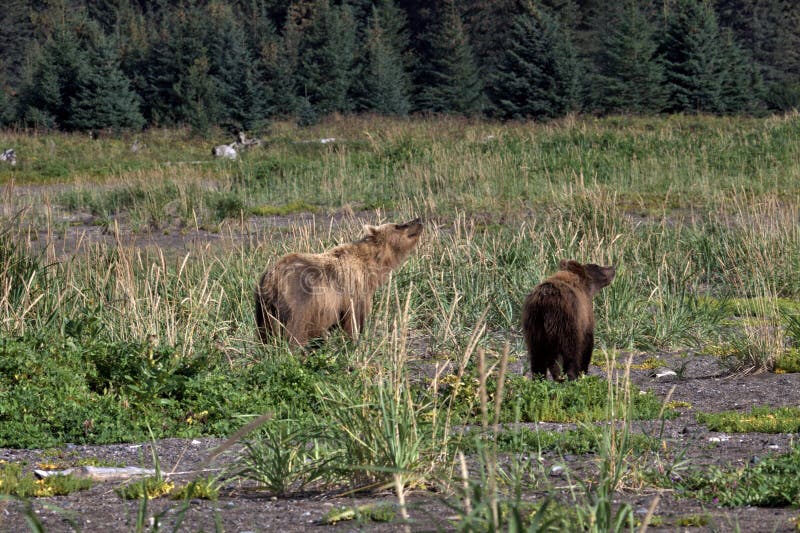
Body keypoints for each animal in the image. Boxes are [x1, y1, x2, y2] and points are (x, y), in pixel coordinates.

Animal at [255, 218, 423, 347]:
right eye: (398, 225)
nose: (418, 220)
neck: (372, 265)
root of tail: (271, 278)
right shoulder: (354, 289)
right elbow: (355, 317)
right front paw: (355, 340)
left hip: (263, 306)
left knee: (264, 332)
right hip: (297, 300)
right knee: (295, 329)